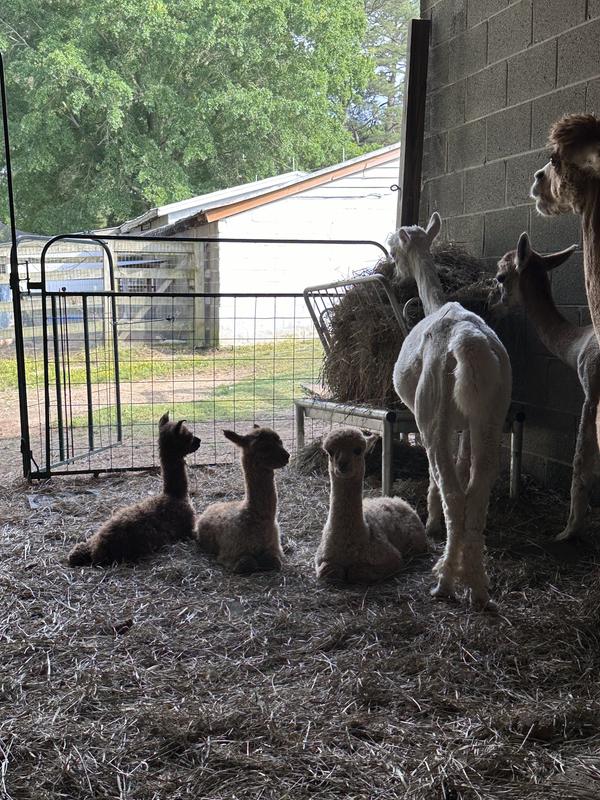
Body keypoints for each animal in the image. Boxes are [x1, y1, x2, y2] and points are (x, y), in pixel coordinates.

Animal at [68, 413, 200, 566]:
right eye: (188, 436)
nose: (199, 441)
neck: (175, 495)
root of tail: (97, 548)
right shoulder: (189, 528)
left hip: (90, 540)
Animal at [195, 425, 289, 573]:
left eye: (280, 441)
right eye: (264, 447)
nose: (287, 456)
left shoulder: (274, 547)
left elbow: (274, 561)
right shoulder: (230, 553)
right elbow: (247, 563)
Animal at [315, 427, 427, 584]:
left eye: (358, 450)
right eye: (330, 451)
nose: (342, 464)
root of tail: (397, 500)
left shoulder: (391, 558)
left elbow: (356, 572)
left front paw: (352, 571)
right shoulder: (321, 558)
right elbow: (328, 571)